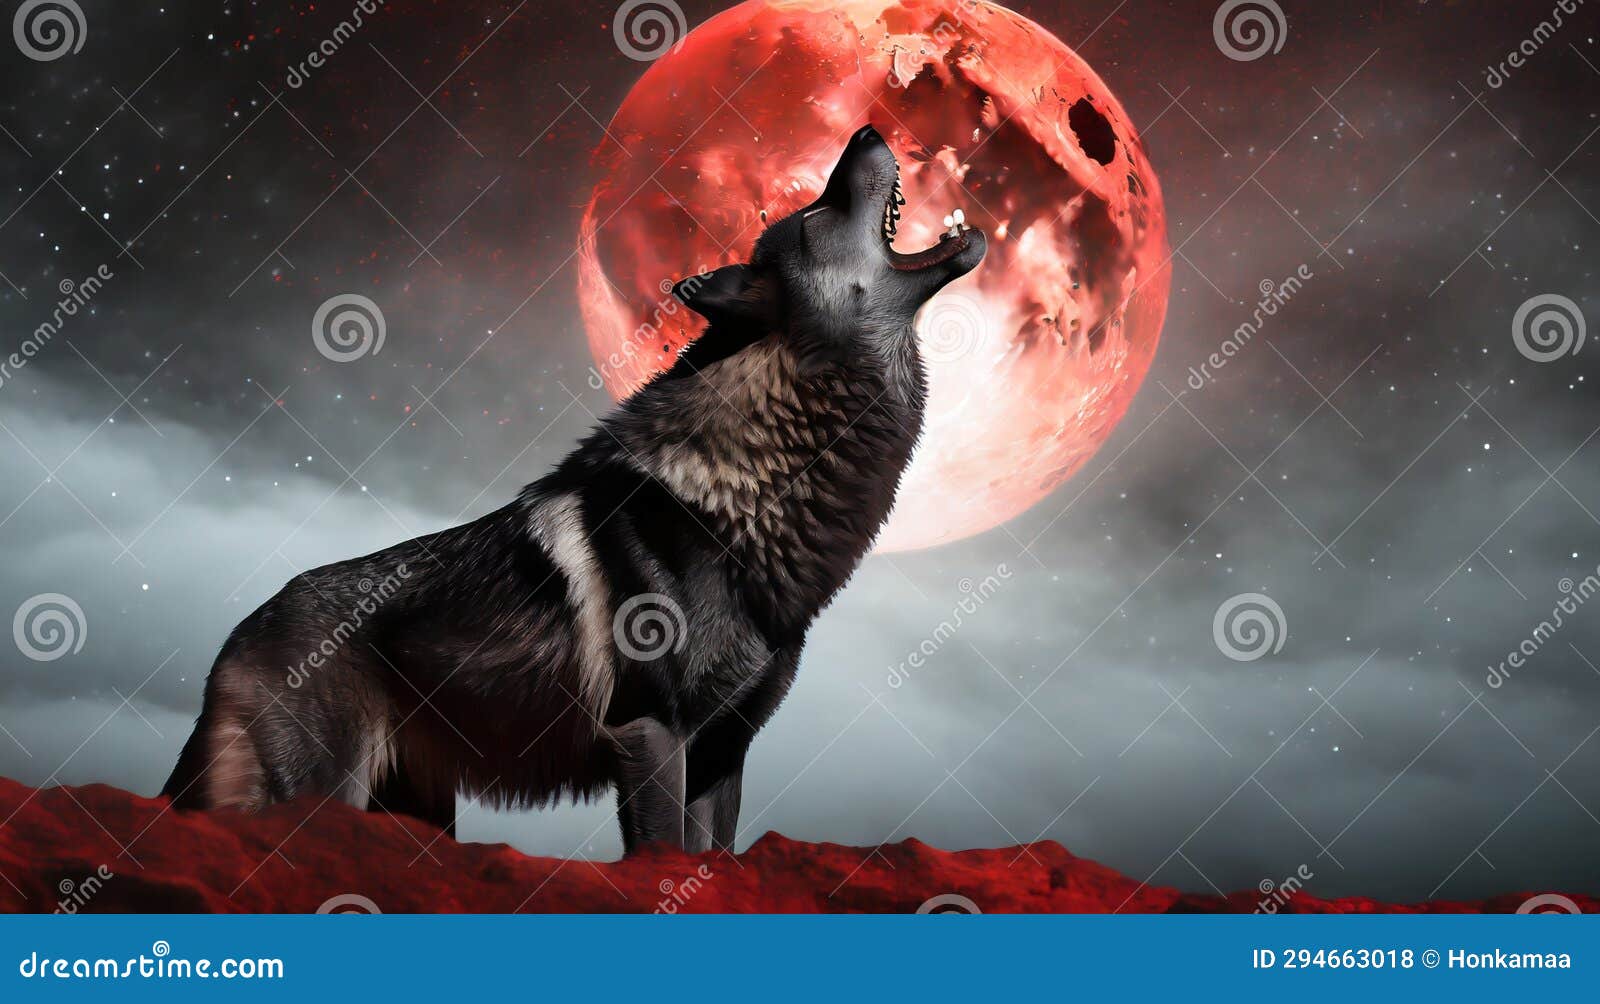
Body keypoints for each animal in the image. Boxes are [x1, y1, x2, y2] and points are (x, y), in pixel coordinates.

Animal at [163, 125, 987, 854]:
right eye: (817, 214)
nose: (869, 130)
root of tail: (234, 638)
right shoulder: (652, 733)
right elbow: (664, 858)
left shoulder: (724, 753)